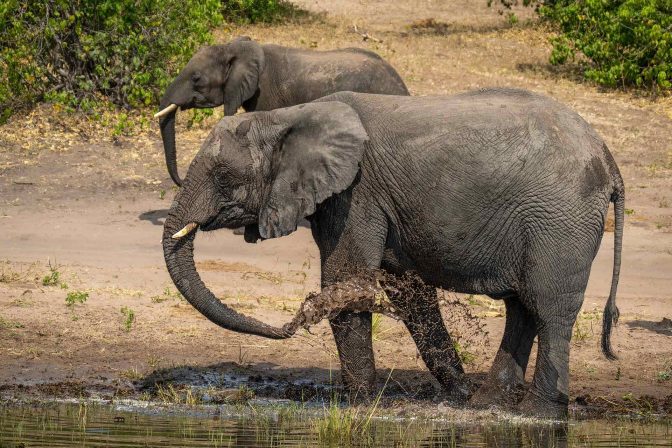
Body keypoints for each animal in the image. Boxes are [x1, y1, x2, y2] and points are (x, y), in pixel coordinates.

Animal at [162, 88, 624, 419]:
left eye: (224, 177)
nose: (292, 324)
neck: (288, 116)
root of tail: (608, 158)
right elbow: (407, 293)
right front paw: (456, 394)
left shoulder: (355, 192)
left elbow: (346, 282)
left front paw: (362, 405)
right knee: (522, 308)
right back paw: (487, 404)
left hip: (560, 220)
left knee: (549, 308)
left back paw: (540, 415)